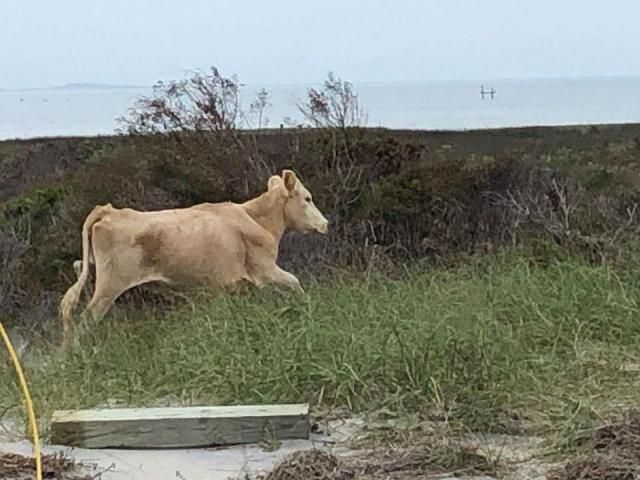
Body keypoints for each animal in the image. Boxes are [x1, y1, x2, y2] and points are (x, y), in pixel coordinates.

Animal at [59, 169, 329, 349]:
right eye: (307, 198)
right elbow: (294, 281)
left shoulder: (229, 287)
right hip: (109, 286)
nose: (325, 223)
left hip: (92, 275)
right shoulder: (264, 269)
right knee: (85, 320)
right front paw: (306, 305)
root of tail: (109, 210)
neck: (257, 219)